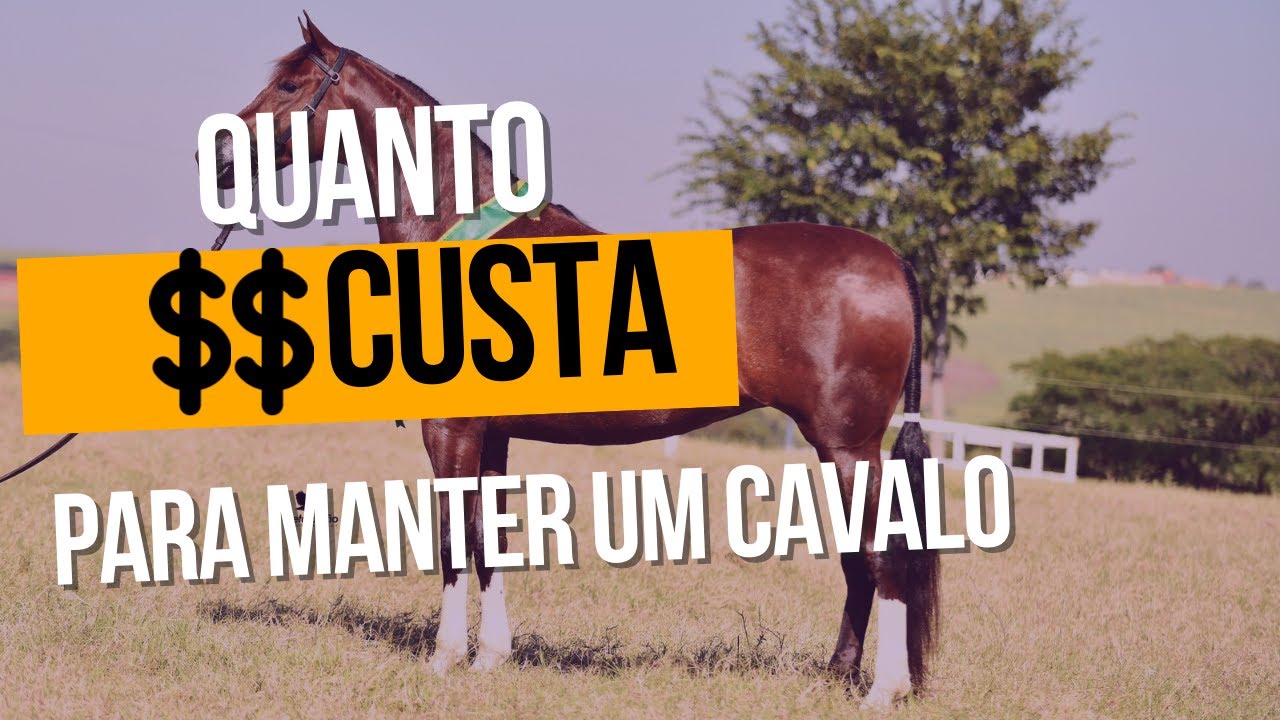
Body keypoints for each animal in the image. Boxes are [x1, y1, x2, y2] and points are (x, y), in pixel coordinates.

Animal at [211, 14, 940, 708]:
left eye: (291, 84)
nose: (213, 154)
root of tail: (890, 260)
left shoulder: (450, 429)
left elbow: (450, 538)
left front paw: (445, 659)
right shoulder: (493, 434)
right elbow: (490, 540)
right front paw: (491, 657)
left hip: (848, 447)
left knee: (881, 556)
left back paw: (882, 690)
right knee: (857, 562)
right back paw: (837, 678)